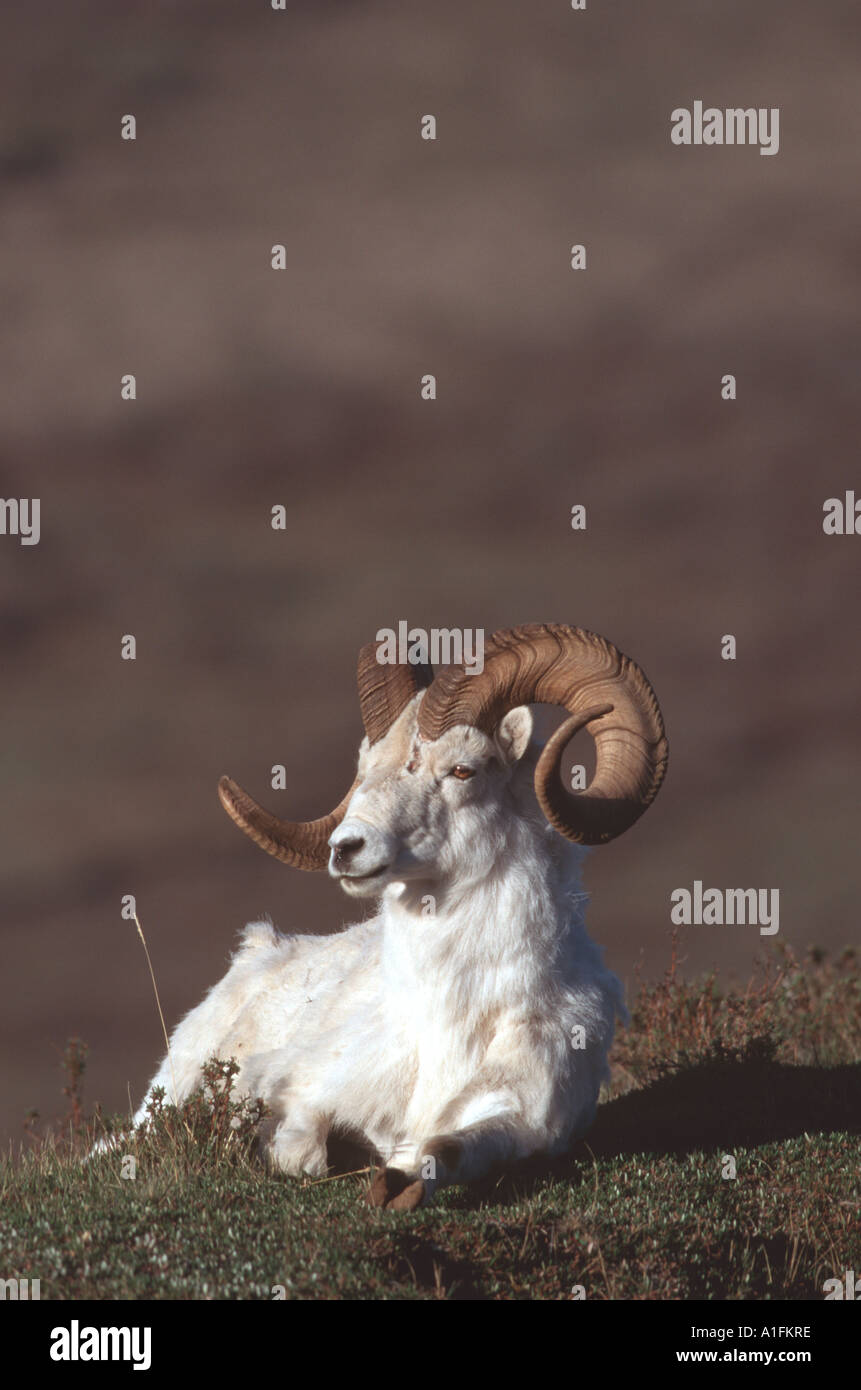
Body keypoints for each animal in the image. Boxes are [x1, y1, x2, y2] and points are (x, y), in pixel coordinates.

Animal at [133, 624, 667, 1209]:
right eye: (366, 769)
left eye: (462, 769)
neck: (450, 1023)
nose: (346, 848)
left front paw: (398, 1183)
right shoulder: (295, 1088)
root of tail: (260, 950)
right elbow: (303, 1149)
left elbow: (448, 1148)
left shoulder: (521, 1120)